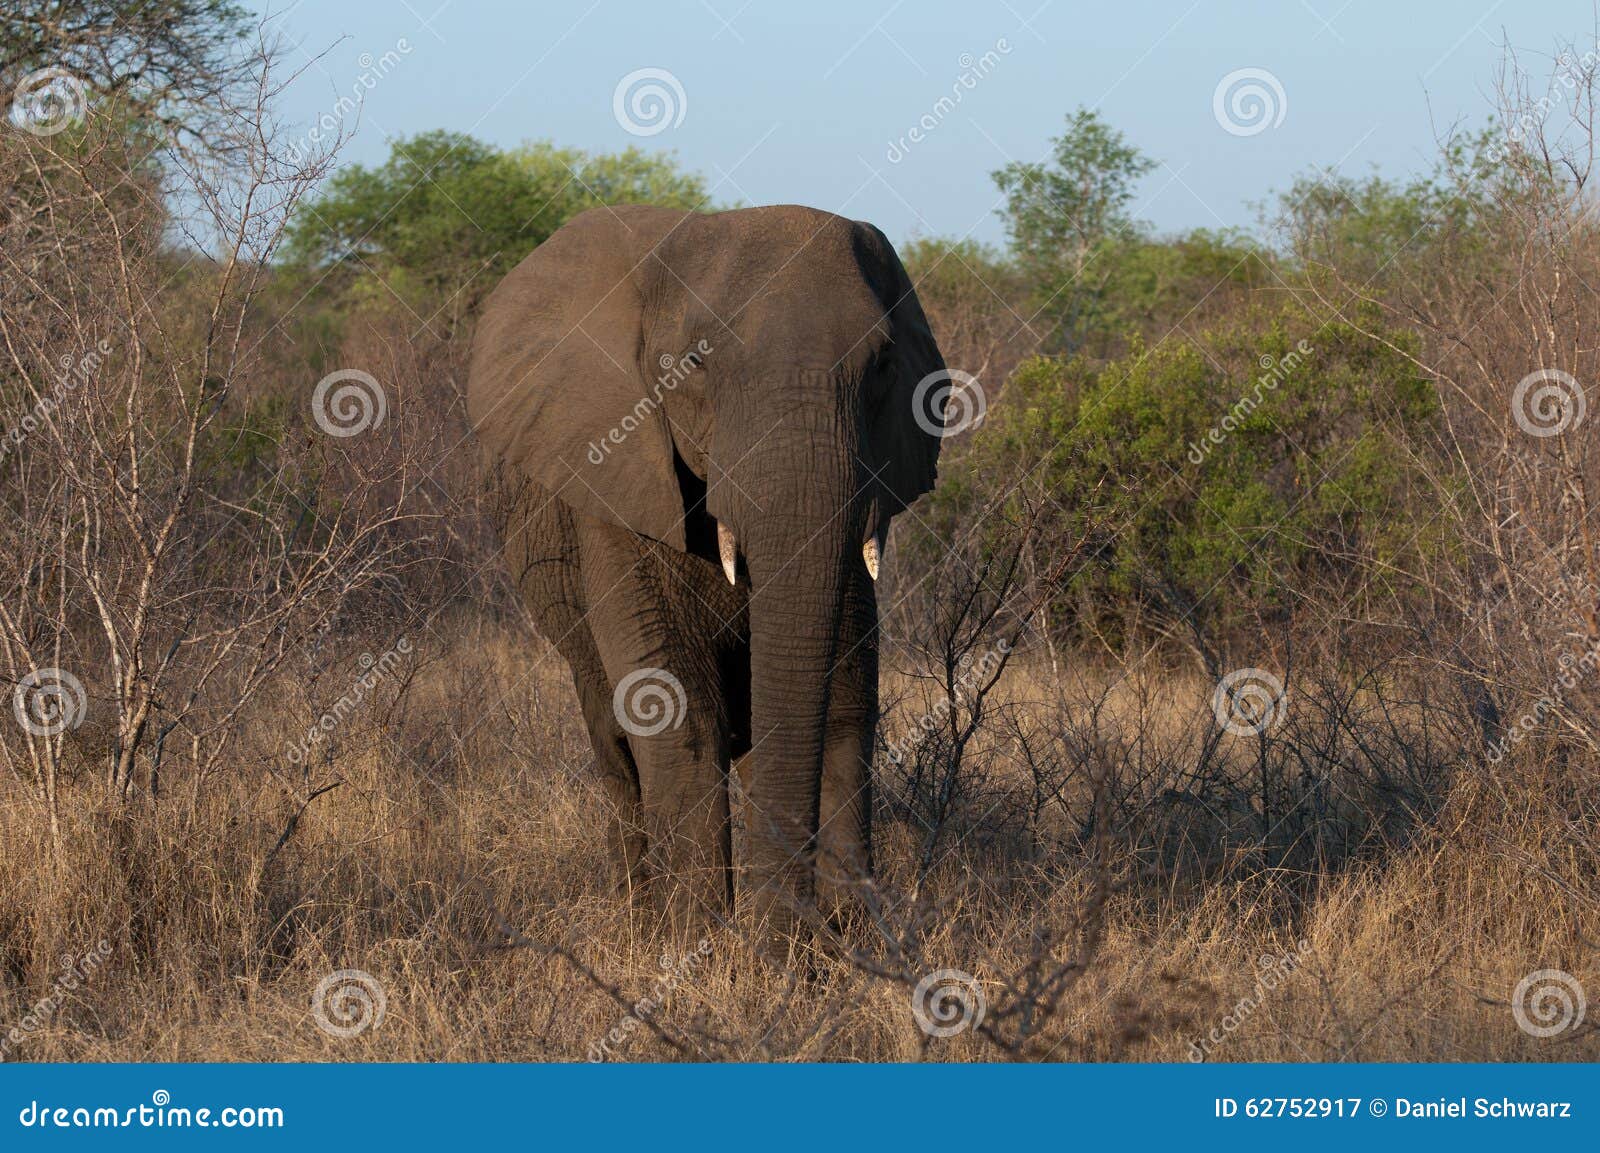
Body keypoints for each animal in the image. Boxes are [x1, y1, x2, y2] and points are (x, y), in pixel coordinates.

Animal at [467, 203, 947, 946]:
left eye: (884, 365)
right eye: (692, 364)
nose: (790, 941)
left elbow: (845, 692)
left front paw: (852, 941)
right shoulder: (613, 481)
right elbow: (674, 706)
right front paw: (692, 946)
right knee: (615, 743)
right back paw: (638, 914)